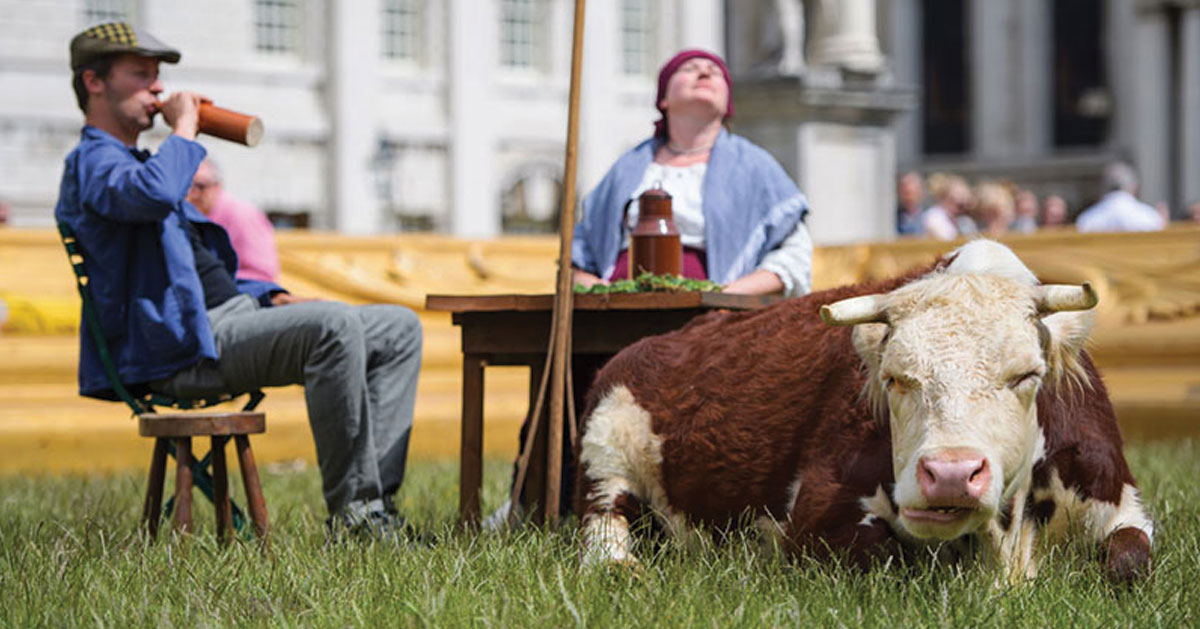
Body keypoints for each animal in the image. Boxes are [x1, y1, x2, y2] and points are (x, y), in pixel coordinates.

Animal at [575, 240, 1153, 583]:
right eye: (895, 378)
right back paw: (621, 566)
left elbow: (1129, 560)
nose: (950, 474)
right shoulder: (815, 520)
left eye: (1025, 376)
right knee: (603, 528)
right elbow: (886, 559)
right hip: (605, 458)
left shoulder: (1122, 503)